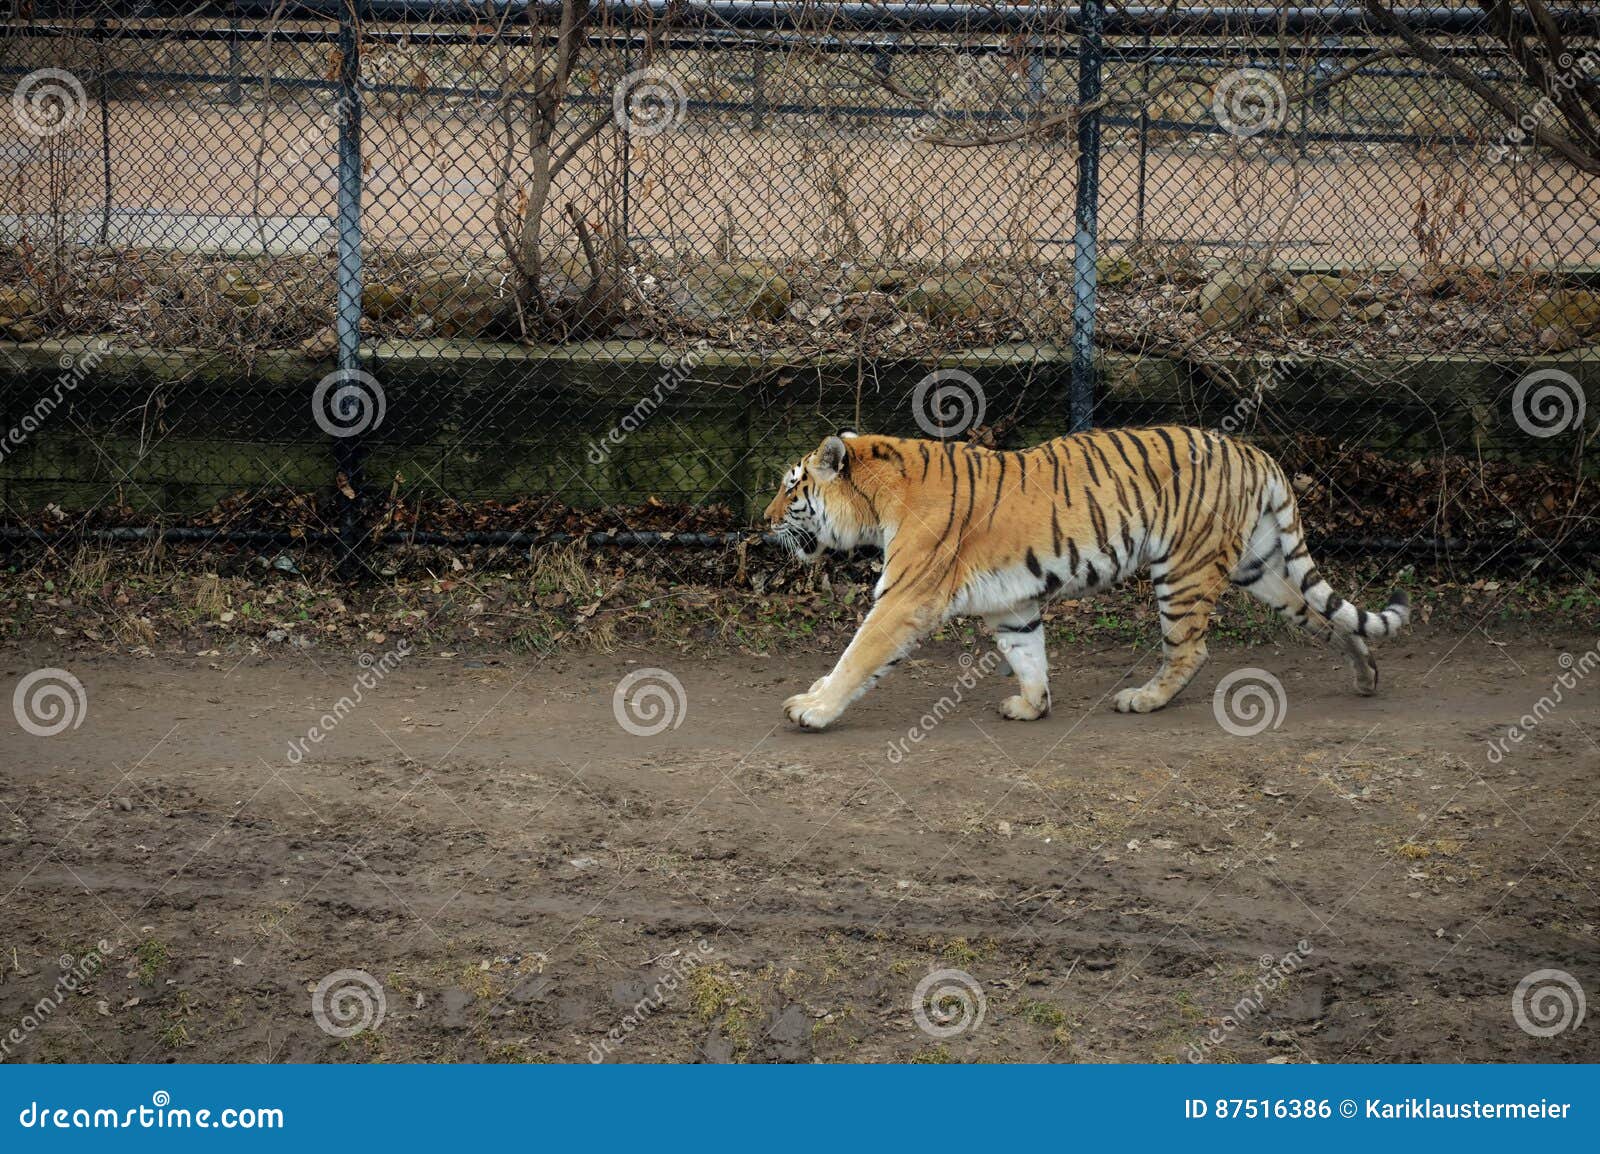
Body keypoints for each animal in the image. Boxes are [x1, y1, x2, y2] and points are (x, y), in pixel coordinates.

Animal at [762, 426, 1410, 731]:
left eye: (793, 489)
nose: (763, 521)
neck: (878, 504)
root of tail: (1255, 452)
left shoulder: (904, 598)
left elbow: (858, 655)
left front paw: (813, 709)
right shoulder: (1012, 605)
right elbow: (1029, 656)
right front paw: (1032, 707)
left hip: (1183, 569)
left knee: (1191, 649)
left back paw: (1144, 699)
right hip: (1261, 566)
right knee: (1330, 619)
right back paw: (1367, 675)